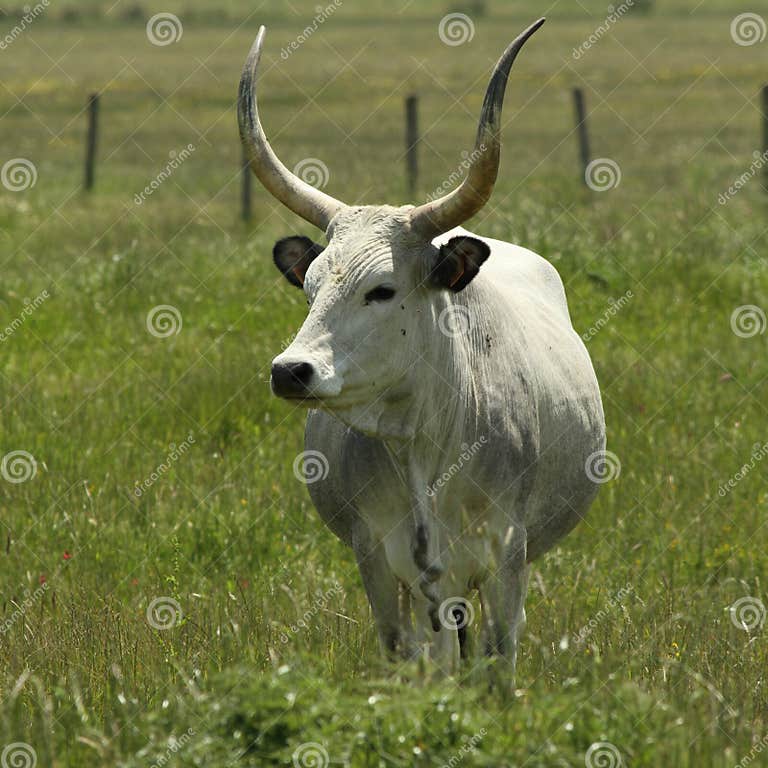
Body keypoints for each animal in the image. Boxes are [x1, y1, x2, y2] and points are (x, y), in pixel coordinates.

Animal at [238, 18, 606, 676]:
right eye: (309, 286)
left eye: (382, 289)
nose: (290, 371)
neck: (424, 444)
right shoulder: (377, 559)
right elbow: (405, 658)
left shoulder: (506, 556)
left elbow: (500, 663)